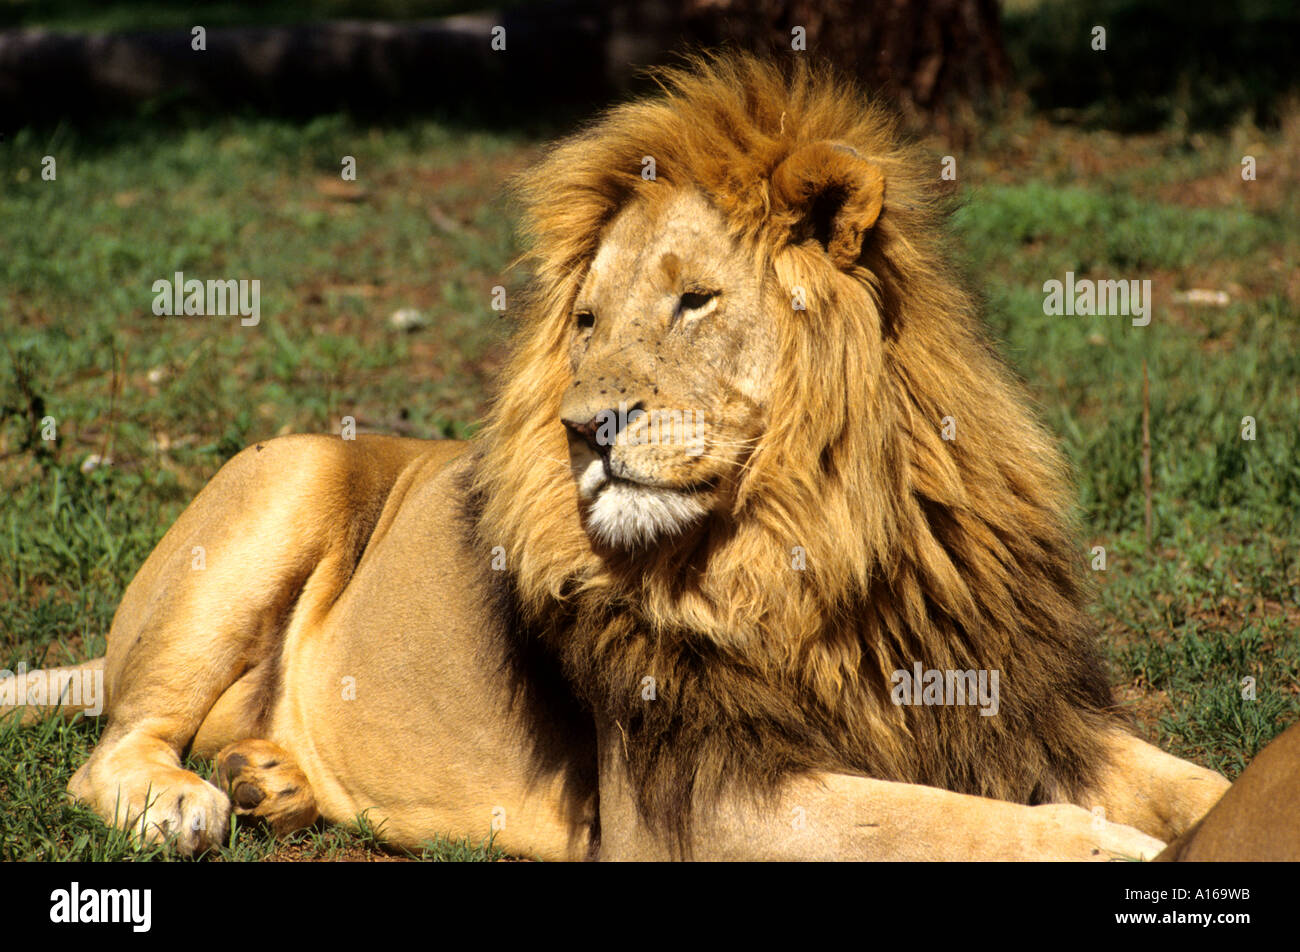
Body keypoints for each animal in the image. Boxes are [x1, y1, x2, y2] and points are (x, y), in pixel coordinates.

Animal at [5, 54, 1230, 860]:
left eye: (694, 301)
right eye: (587, 322)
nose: (583, 429)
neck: (814, 540)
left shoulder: (1019, 708)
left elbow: (1200, 785)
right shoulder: (706, 798)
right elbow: (968, 825)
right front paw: (1121, 850)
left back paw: (273, 781)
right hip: (288, 474)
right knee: (114, 745)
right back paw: (186, 799)